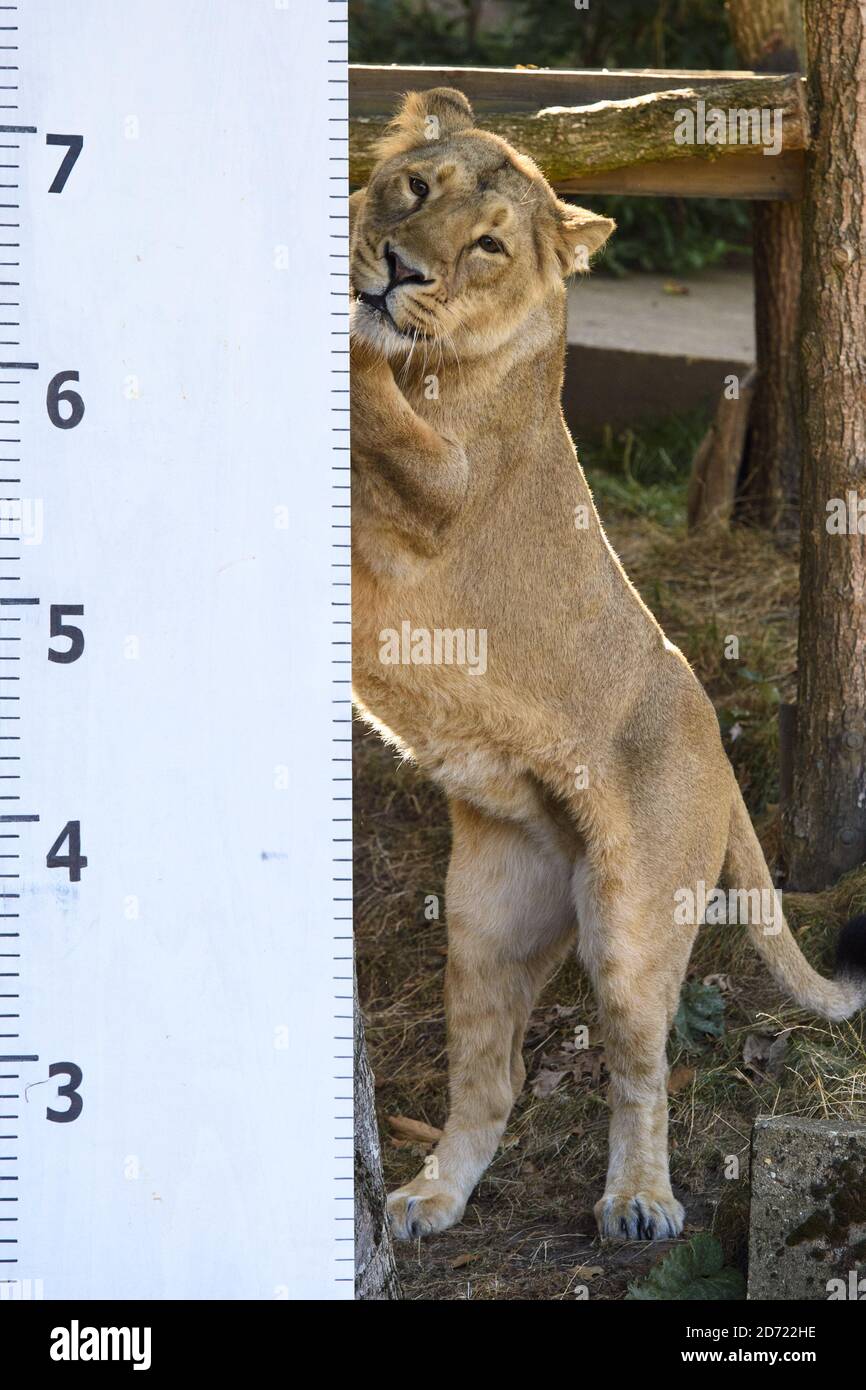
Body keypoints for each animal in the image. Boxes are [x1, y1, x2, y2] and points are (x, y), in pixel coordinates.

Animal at [349, 87, 866, 1243]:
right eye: (416, 187)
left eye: (488, 246)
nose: (402, 267)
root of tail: (720, 755)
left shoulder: (442, 482)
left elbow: (368, 389)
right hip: (486, 921)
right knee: (489, 1086)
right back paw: (429, 1198)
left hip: (632, 925)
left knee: (642, 1068)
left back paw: (639, 1200)